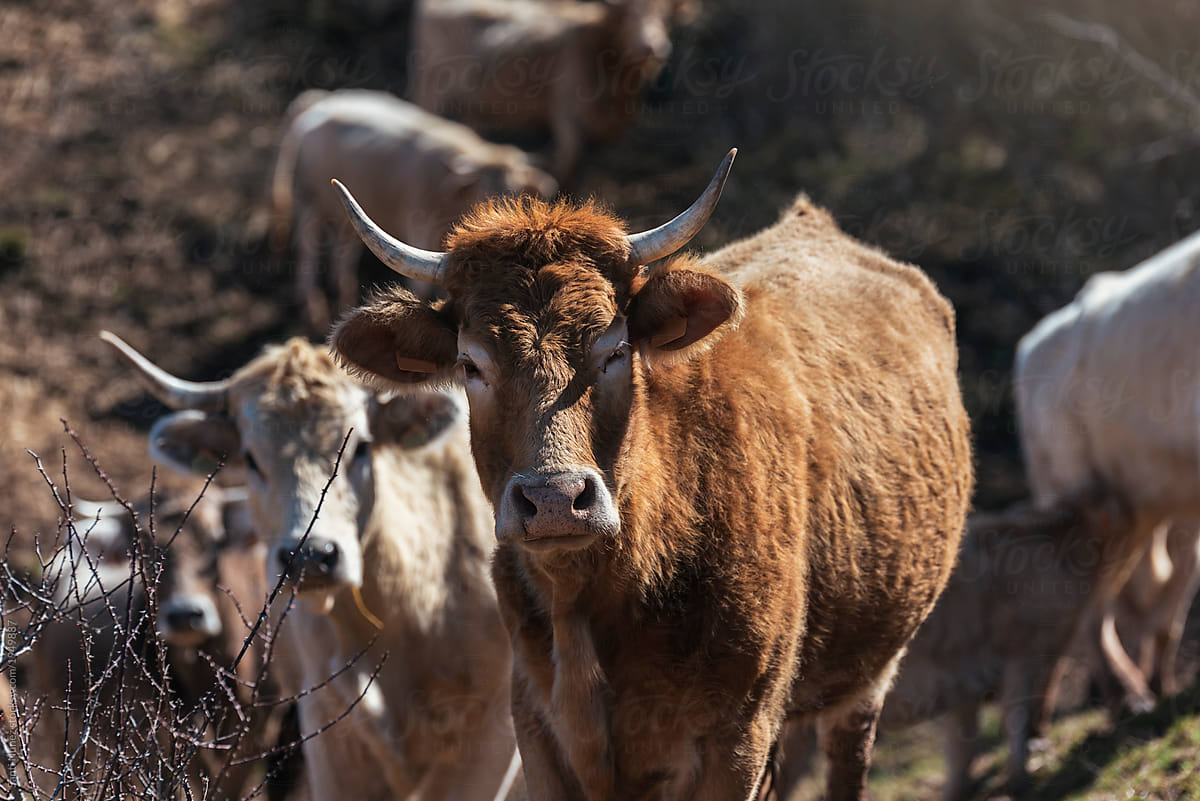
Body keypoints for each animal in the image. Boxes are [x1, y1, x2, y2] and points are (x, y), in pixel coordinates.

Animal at [270, 88, 558, 330]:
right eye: (484, 189)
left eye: (516, 189)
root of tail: (319, 104)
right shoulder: (419, 229)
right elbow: (421, 286)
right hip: (309, 204)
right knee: (307, 252)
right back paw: (313, 310)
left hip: (347, 212)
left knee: (343, 251)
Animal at [327, 149, 974, 801]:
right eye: (469, 364)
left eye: (615, 350)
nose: (556, 499)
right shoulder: (536, 730)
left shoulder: (737, 739)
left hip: (866, 681)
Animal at [411, 0, 676, 181]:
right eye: (627, 15)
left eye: (664, 15)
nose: (652, 47)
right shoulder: (565, 116)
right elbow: (567, 164)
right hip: (431, 92)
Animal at [1014, 228, 1200, 713]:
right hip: (1078, 494)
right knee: (1091, 602)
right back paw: (1125, 692)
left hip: (1145, 503)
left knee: (1159, 587)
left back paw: (1150, 683)